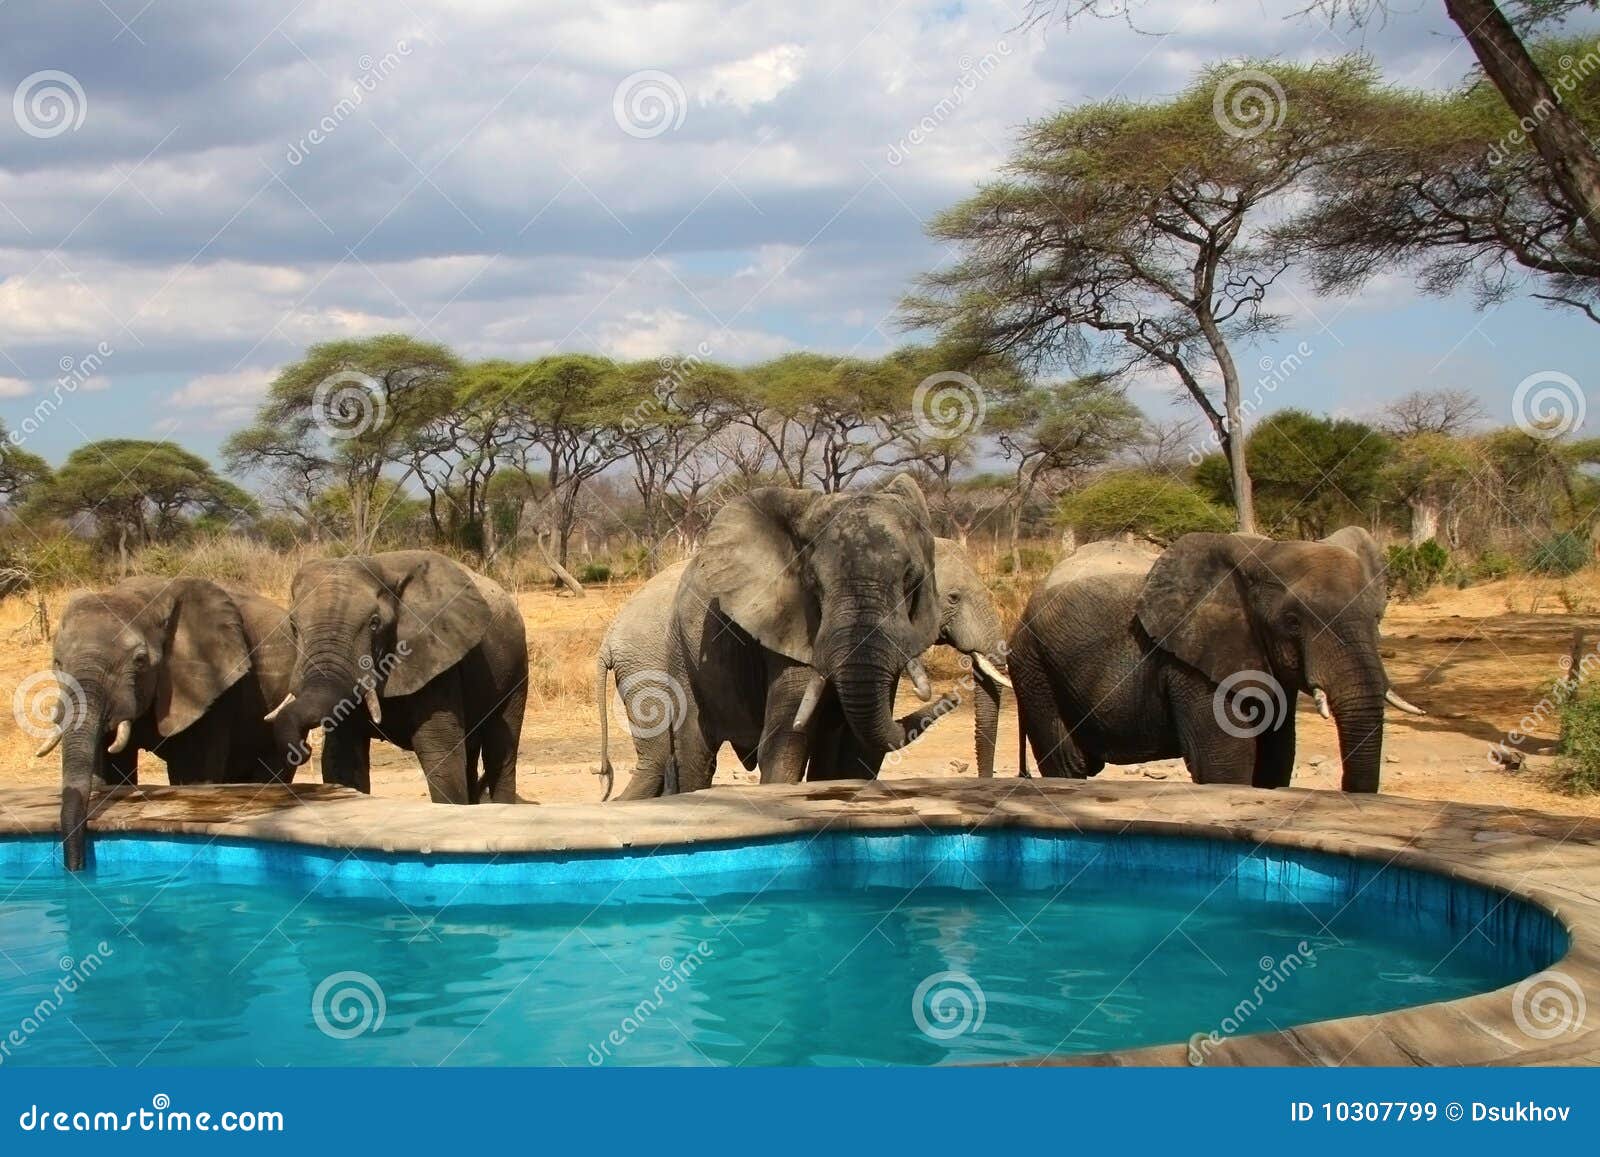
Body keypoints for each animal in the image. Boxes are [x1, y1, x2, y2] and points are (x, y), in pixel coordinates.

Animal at [267, 551, 528, 803]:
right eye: (293, 626)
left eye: (374, 624)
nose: (304, 748)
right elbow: (342, 759)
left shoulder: (438, 661)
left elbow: (439, 753)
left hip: (516, 666)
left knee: (500, 748)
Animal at [610, 475, 957, 800]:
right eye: (814, 583)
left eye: (910, 579)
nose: (951, 697)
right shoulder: (787, 622)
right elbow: (787, 739)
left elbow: (852, 750)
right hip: (683, 649)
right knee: (695, 751)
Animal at [1008, 528, 1425, 793]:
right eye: (1292, 622)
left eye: (1377, 617)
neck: (1264, 552)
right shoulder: (1191, 664)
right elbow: (1224, 765)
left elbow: (1275, 759)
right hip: (1034, 665)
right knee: (1069, 765)